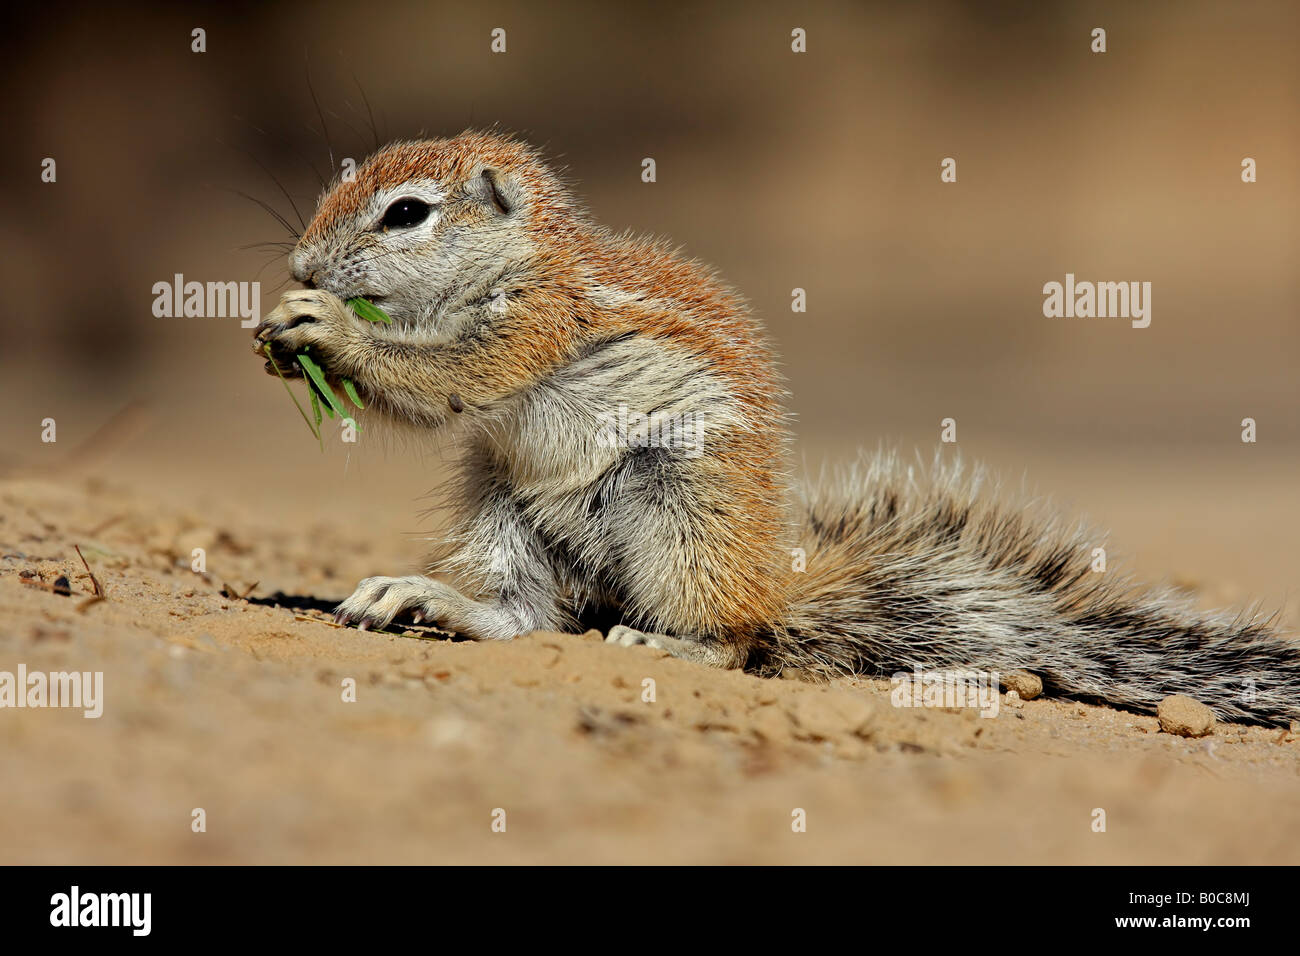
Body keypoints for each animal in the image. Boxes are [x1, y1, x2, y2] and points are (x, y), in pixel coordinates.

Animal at [252, 130, 1300, 726]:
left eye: (406, 213)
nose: (301, 264)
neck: (523, 258)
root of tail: (772, 582)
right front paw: (277, 332)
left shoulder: (534, 321)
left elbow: (449, 377)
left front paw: (325, 329)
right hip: (498, 504)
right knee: (523, 617)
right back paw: (424, 598)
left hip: (680, 512)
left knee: (733, 642)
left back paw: (669, 645)